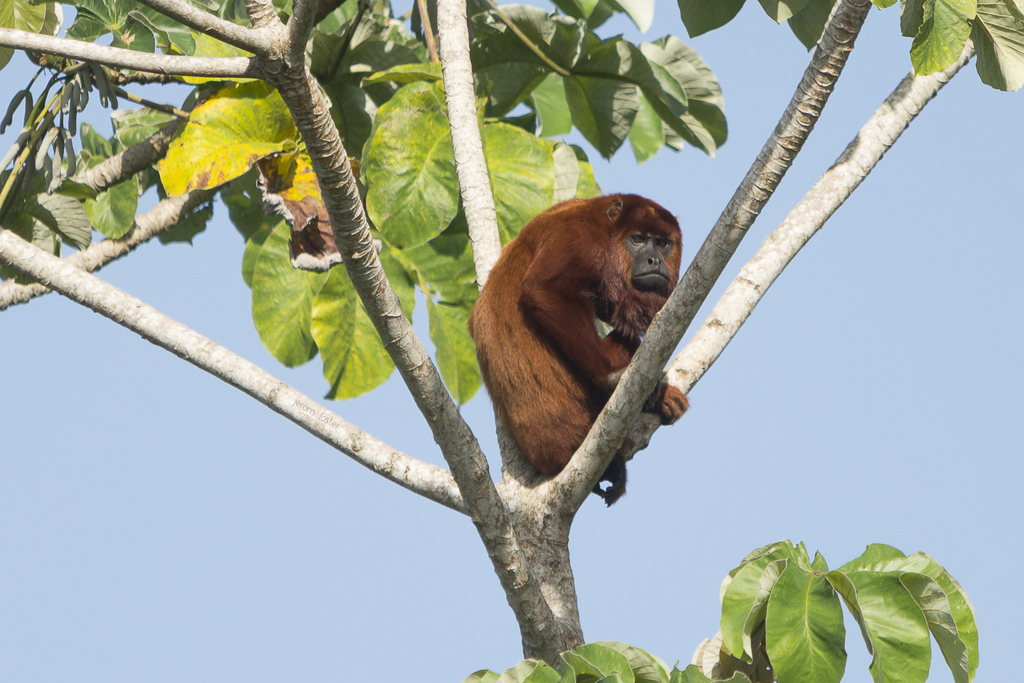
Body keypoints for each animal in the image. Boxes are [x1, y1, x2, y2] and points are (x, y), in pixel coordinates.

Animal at [468, 194, 689, 505]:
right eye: (638, 239)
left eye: (662, 243)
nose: (654, 260)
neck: (605, 225)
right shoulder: (579, 237)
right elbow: (543, 291)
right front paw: (610, 377)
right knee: (626, 341)